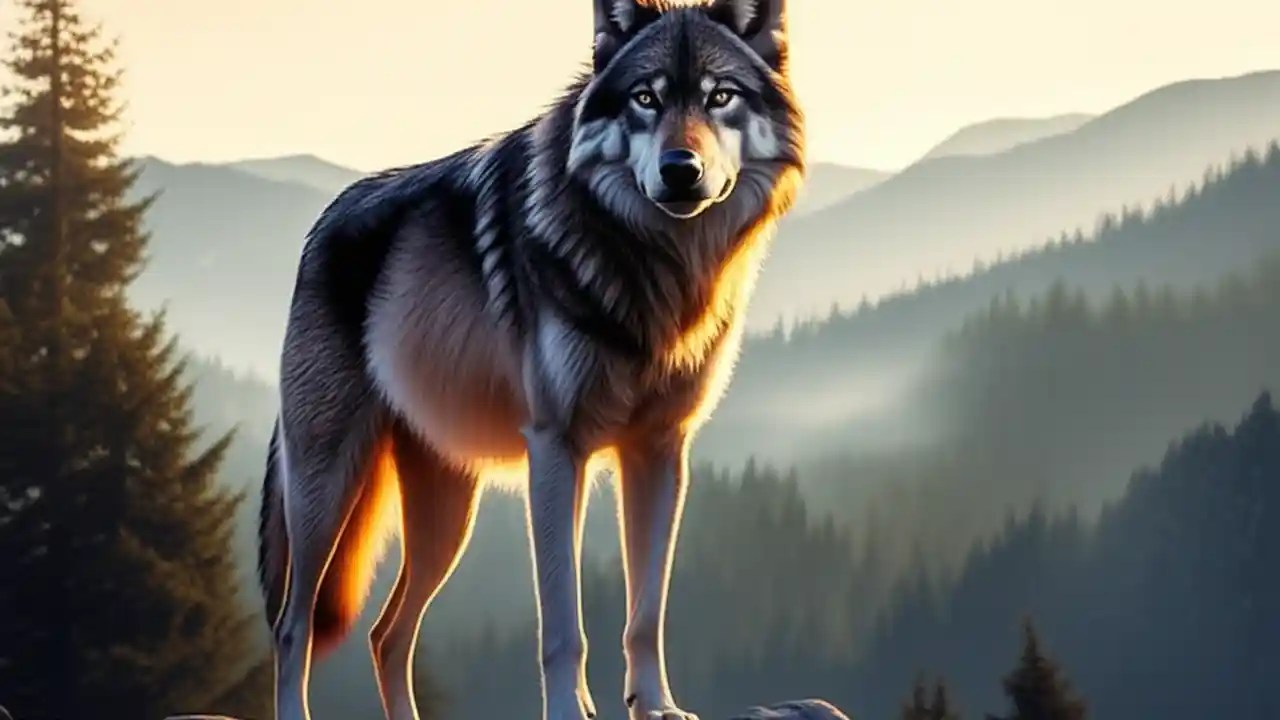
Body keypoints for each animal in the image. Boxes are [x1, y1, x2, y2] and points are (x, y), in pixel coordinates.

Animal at [256, 1, 804, 719]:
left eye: (720, 97)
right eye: (646, 98)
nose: (680, 168)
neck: (656, 267)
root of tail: (322, 225)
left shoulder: (659, 451)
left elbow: (646, 613)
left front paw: (655, 704)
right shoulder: (554, 450)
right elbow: (562, 620)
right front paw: (570, 708)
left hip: (446, 519)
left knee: (387, 633)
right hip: (327, 491)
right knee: (293, 625)